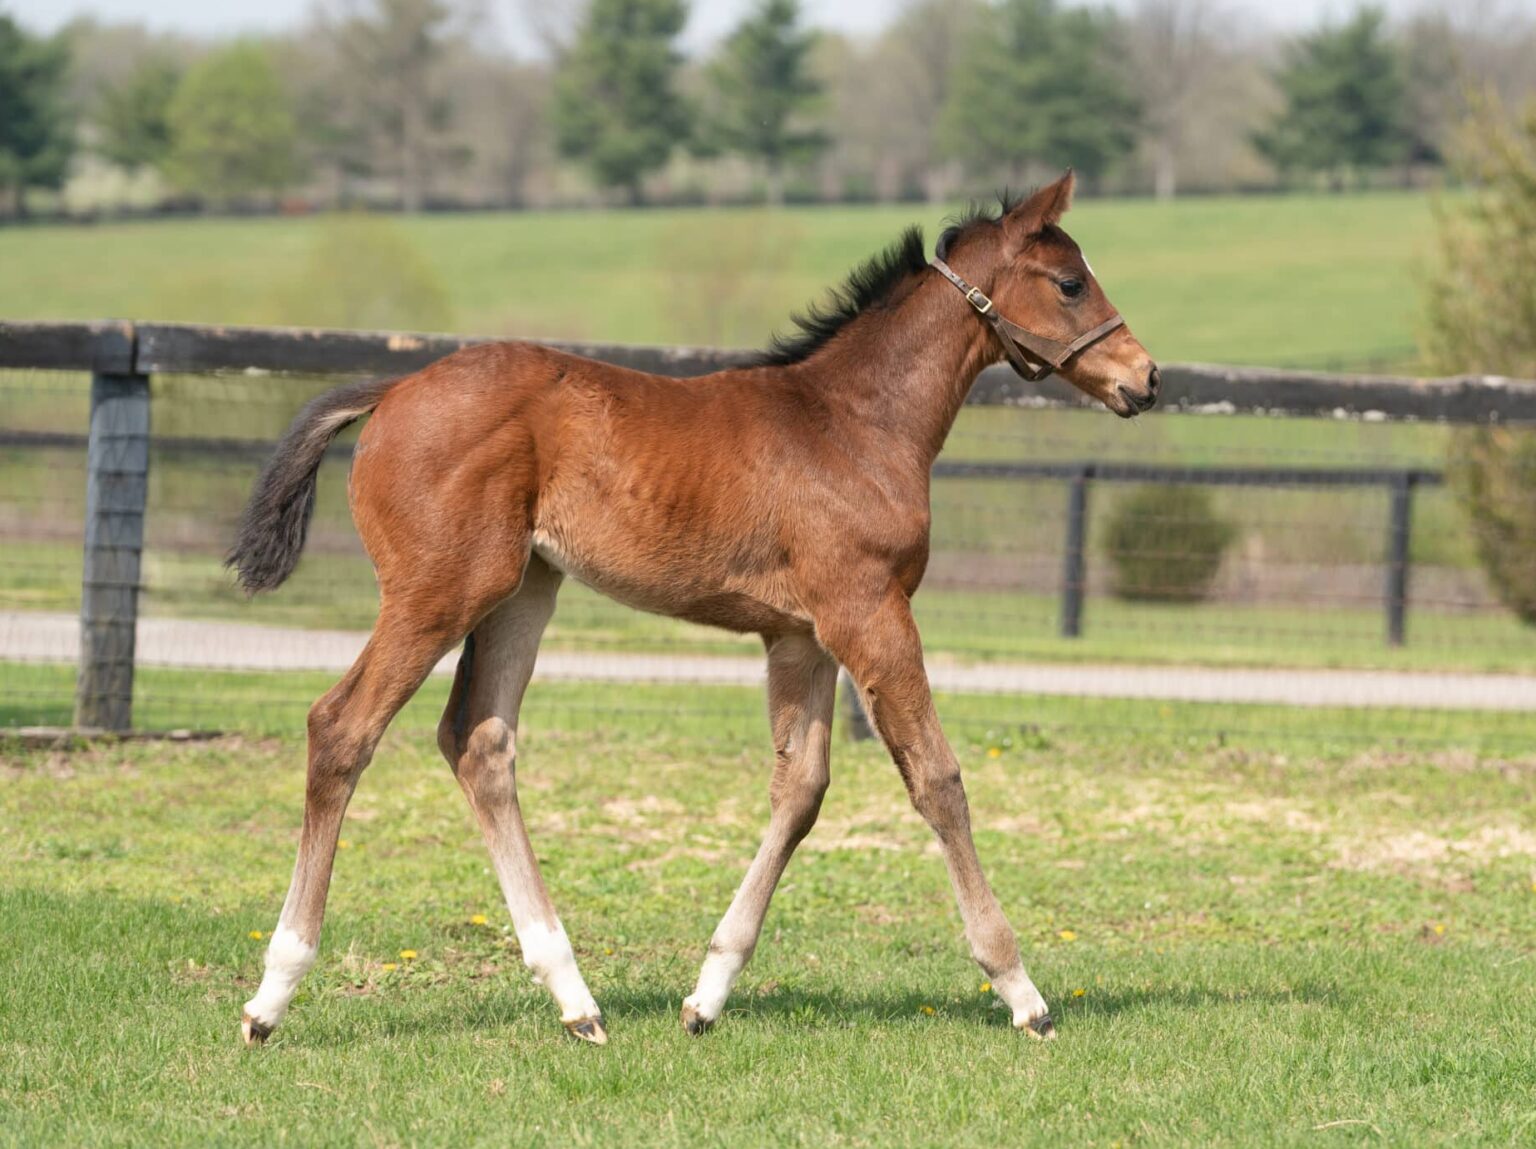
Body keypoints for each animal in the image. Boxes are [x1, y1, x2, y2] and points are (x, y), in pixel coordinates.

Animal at [229, 170, 1158, 1048]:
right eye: (1070, 282)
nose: (1146, 378)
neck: (854, 423)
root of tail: (391, 390)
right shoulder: (869, 610)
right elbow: (935, 777)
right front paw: (1022, 990)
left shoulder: (800, 635)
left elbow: (802, 787)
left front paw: (707, 994)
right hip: (439, 591)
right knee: (342, 727)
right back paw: (273, 993)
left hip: (524, 588)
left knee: (478, 741)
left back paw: (575, 999)